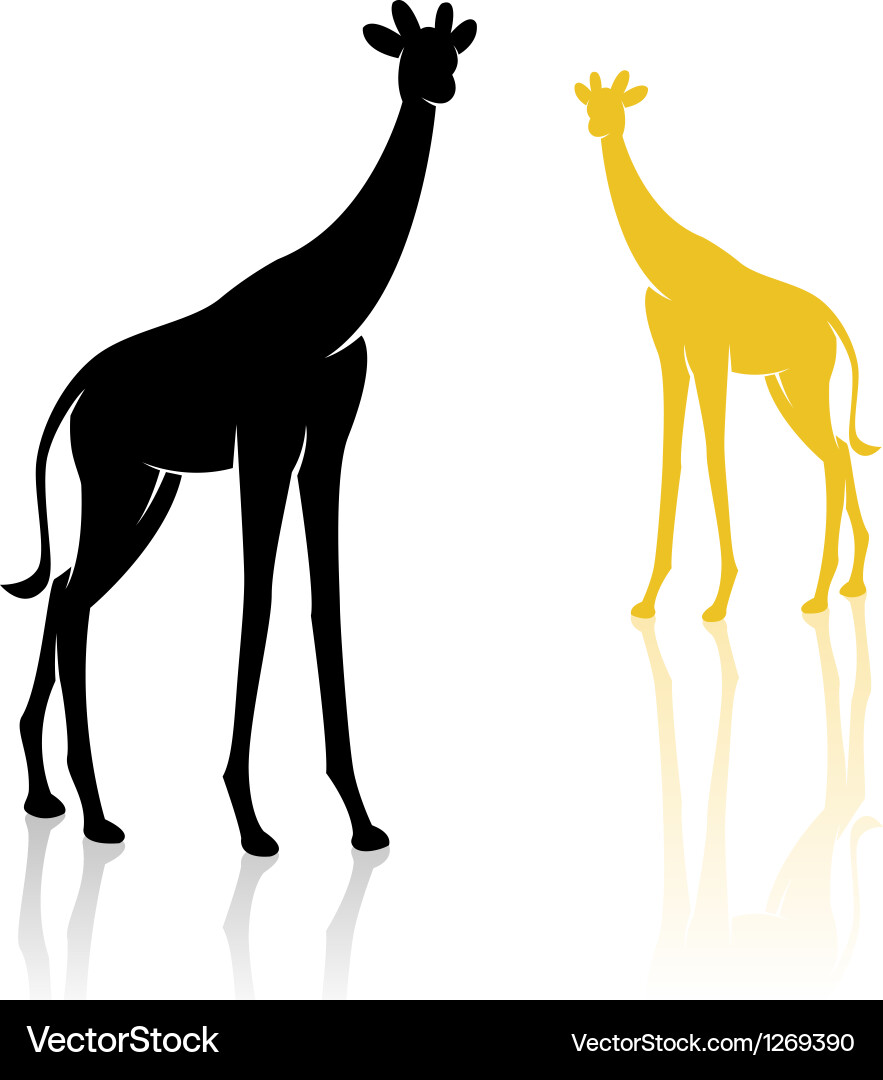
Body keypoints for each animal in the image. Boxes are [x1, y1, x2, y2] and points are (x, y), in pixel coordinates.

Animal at [5, 3, 477, 856]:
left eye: (449, 51)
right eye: (408, 51)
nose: (441, 88)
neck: (327, 304)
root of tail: (83, 384)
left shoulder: (327, 435)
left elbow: (324, 599)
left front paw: (360, 820)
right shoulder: (265, 438)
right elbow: (257, 600)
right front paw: (251, 822)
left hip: (150, 483)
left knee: (66, 591)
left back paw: (47, 796)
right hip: (116, 475)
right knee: (76, 597)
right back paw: (94, 813)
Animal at [575, 72, 878, 621]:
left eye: (618, 104)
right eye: (591, 104)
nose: (596, 127)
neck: (668, 267)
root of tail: (830, 318)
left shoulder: (711, 355)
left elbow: (715, 456)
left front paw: (719, 600)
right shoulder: (671, 355)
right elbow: (672, 456)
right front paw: (649, 599)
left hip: (805, 379)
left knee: (834, 455)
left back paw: (819, 594)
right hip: (785, 384)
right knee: (838, 452)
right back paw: (850, 583)